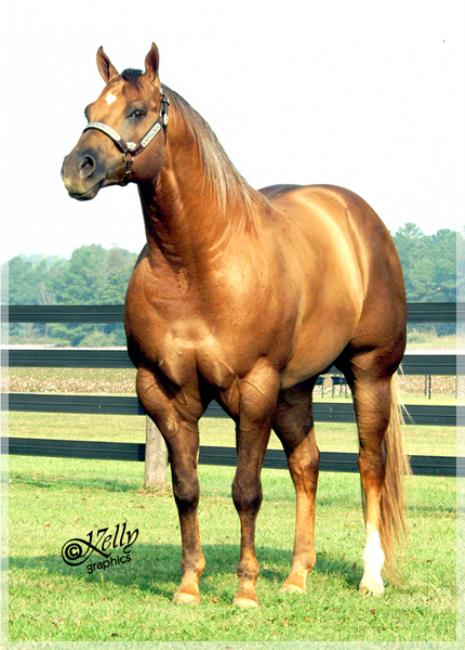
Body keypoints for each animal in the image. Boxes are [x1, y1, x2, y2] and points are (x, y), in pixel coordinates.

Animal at [62, 43, 410, 608]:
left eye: (136, 110)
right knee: (307, 463)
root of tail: (359, 219)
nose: (78, 168)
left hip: (368, 372)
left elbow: (246, 490)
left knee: (369, 464)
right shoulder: (164, 393)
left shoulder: (254, 388)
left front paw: (245, 591)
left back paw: (370, 577)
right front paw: (189, 585)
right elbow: (186, 489)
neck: (195, 264)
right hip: (295, 388)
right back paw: (296, 575)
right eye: (90, 109)